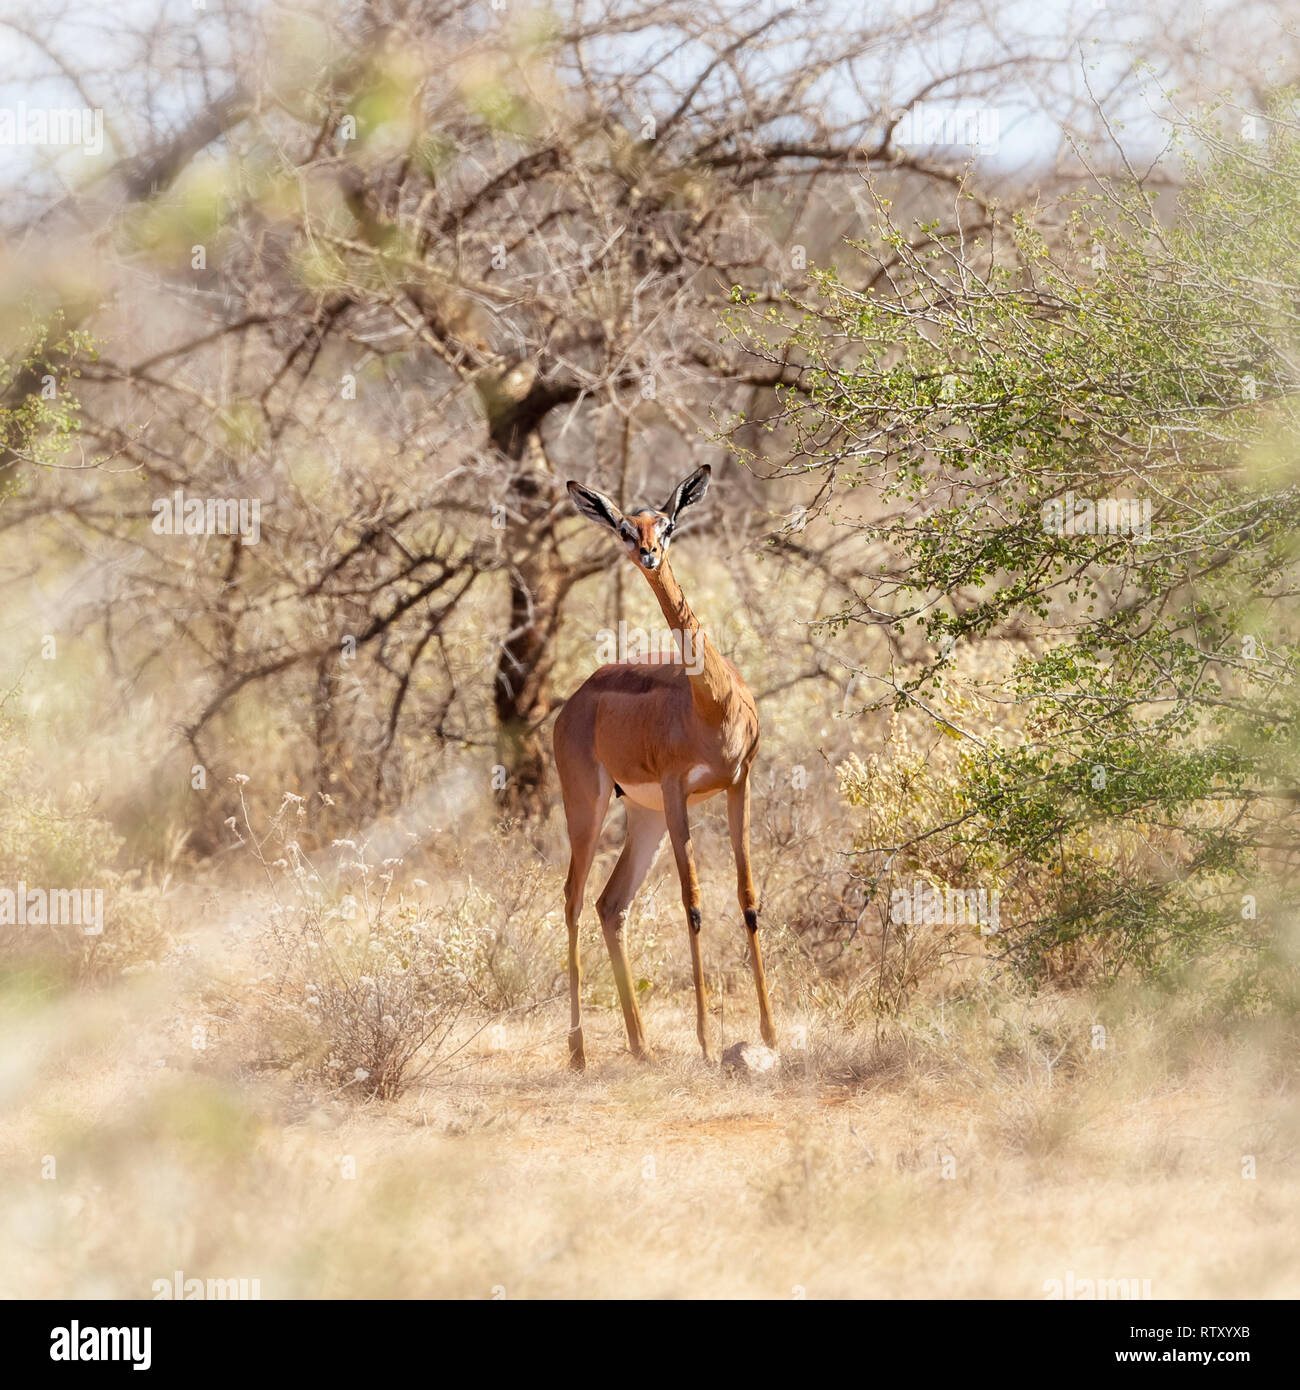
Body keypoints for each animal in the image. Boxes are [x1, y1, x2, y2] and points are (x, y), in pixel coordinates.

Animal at [554, 464, 777, 1069]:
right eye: (625, 529)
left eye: (668, 522)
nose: (649, 554)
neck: (711, 705)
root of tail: (576, 699)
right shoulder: (680, 792)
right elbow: (693, 904)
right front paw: (705, 1041)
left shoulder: (740, 783)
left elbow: (748, 900)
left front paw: (771, 1033)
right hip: (589, 809)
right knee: (573, 900)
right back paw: (579, 1051)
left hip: (644, 816)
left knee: (611, 905)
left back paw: (642, 1045)